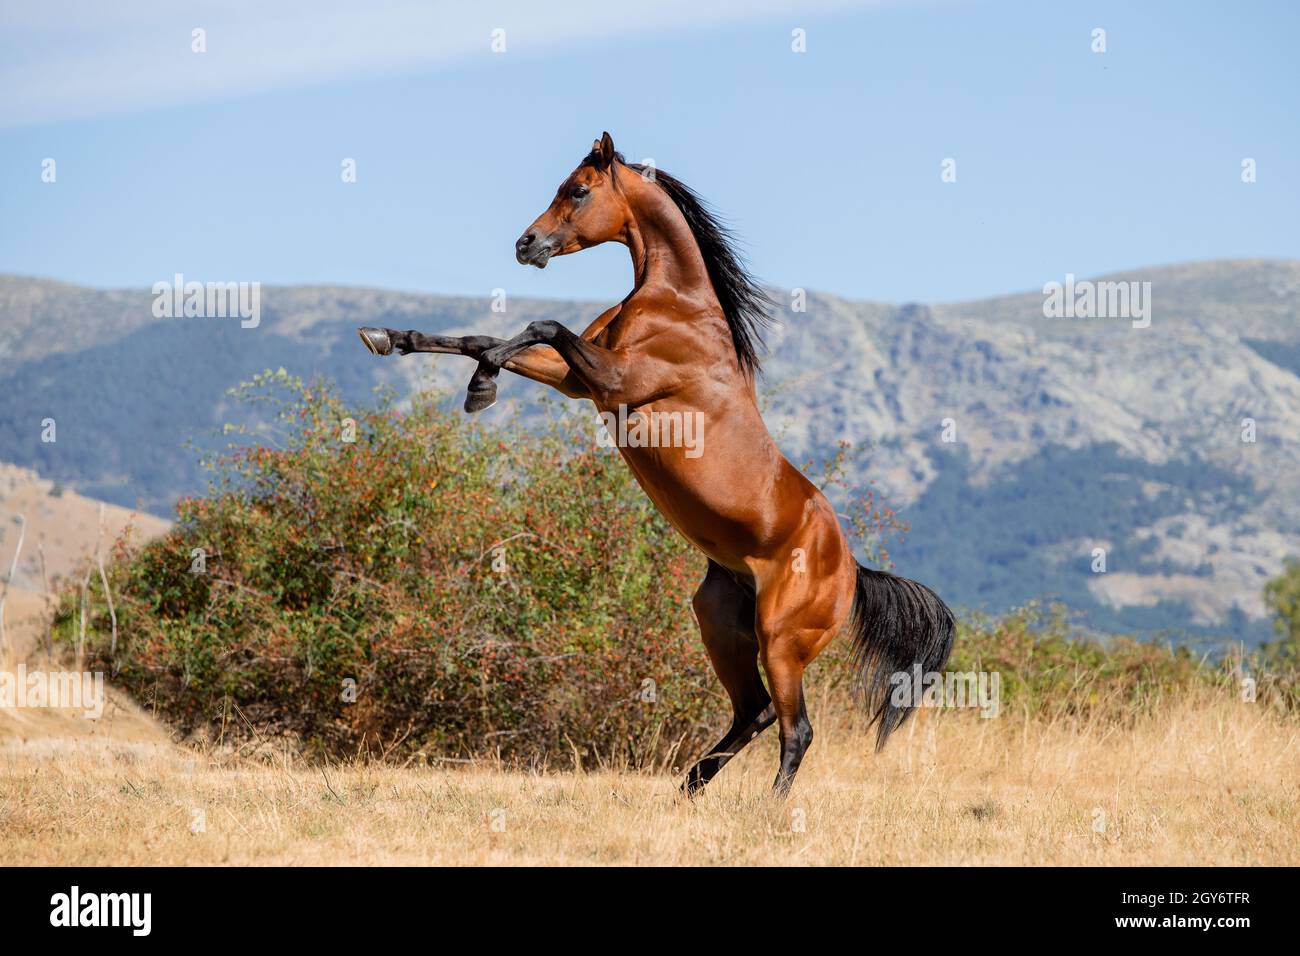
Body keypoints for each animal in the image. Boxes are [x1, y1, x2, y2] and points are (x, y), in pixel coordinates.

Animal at [357, 132, 954, 795]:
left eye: (577, 190)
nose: (525, 245)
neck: (676, 304)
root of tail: (852, 570)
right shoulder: (578, 381)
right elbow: (482, 339)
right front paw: (391, 338)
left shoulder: (613, 381)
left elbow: (539, 325)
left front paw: (479, 388)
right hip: (719, 622)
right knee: (754, 712)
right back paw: (689, 785)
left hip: (781, 640)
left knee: (795, 729)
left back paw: (765, 806)